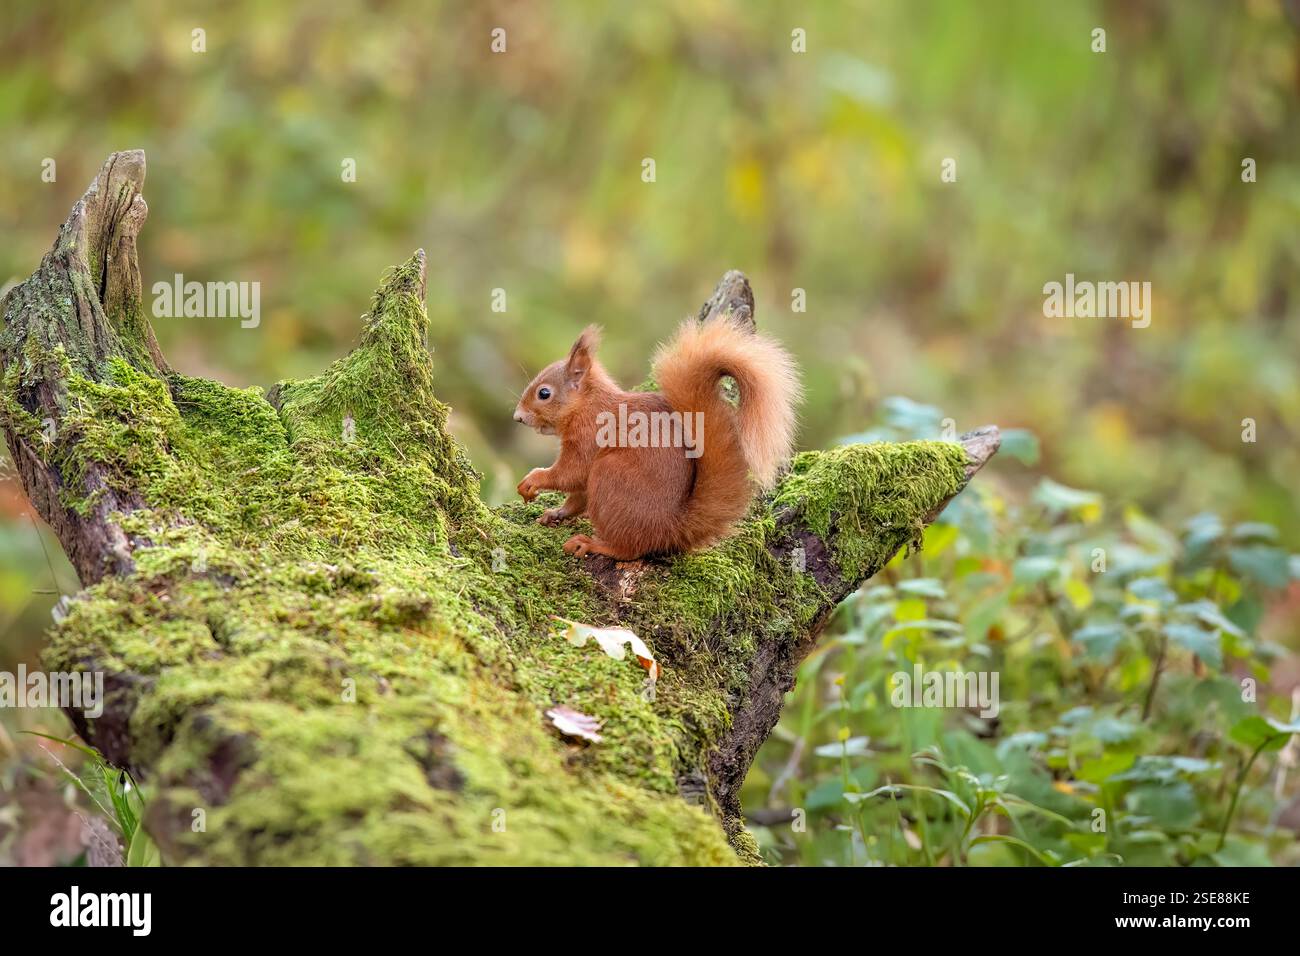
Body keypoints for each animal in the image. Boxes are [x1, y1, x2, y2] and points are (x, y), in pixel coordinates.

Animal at [513, 314, 801, 560]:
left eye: (544, 393)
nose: (518, 417)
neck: (587, 405)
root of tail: (670, 528)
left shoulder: (588, 439)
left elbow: (570, 473)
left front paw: (534, 479)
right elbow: (577, 496)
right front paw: (557, 513)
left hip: (609, 475)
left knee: (629, 549)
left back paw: (593, 544)